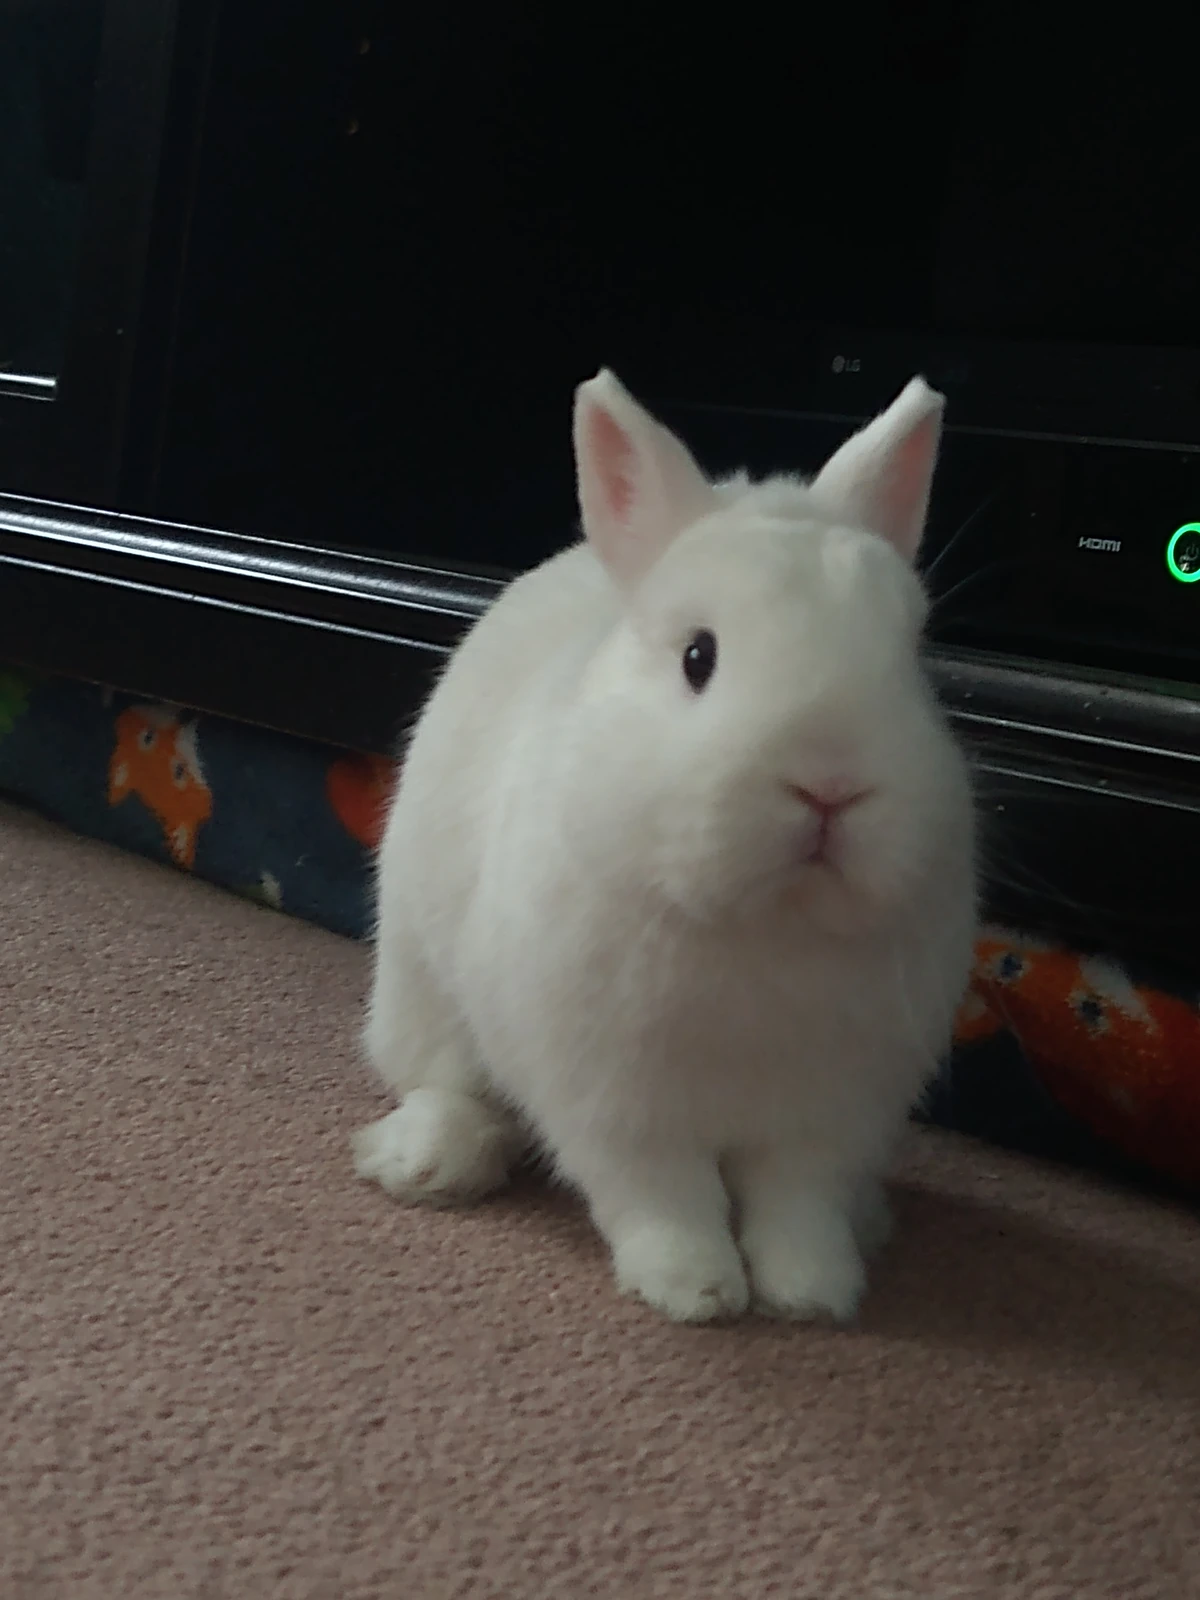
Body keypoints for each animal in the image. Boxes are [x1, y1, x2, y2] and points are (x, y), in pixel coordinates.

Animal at [353, 369, 977, 1325]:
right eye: (698, 656)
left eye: (911, 662)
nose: (830, 784)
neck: (767, 924)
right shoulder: (619, 1103)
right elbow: (662, 1198)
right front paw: (695, 1291)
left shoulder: (828, 1119)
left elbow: (799, 1205)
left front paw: (813, 1293)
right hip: (422, 993)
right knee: (449, 1085)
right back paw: (424, 1161)